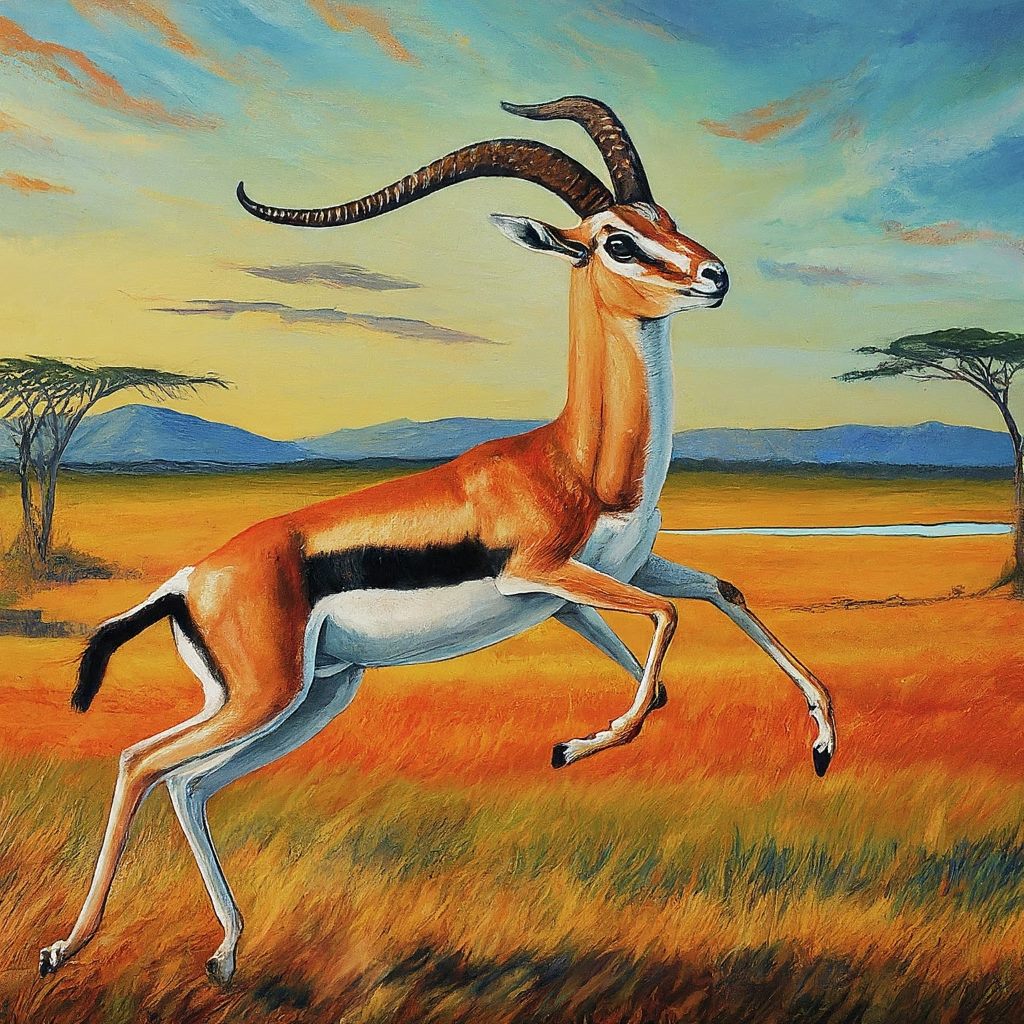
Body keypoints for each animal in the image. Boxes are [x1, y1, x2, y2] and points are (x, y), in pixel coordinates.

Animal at [39, 97, 836, 986]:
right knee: (142, 762)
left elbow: (710, 609)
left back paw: (225, 953)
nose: (714, 275)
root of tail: (187, 581)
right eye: (617, 240)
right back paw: (64, 947)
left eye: (666, 218)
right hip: (265, 697)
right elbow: (669, 622)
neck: (576, 462)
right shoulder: (544, 573)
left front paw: (822, 742)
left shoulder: (585, 587)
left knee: (192, 785)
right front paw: (571, 748)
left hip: (312, 696)